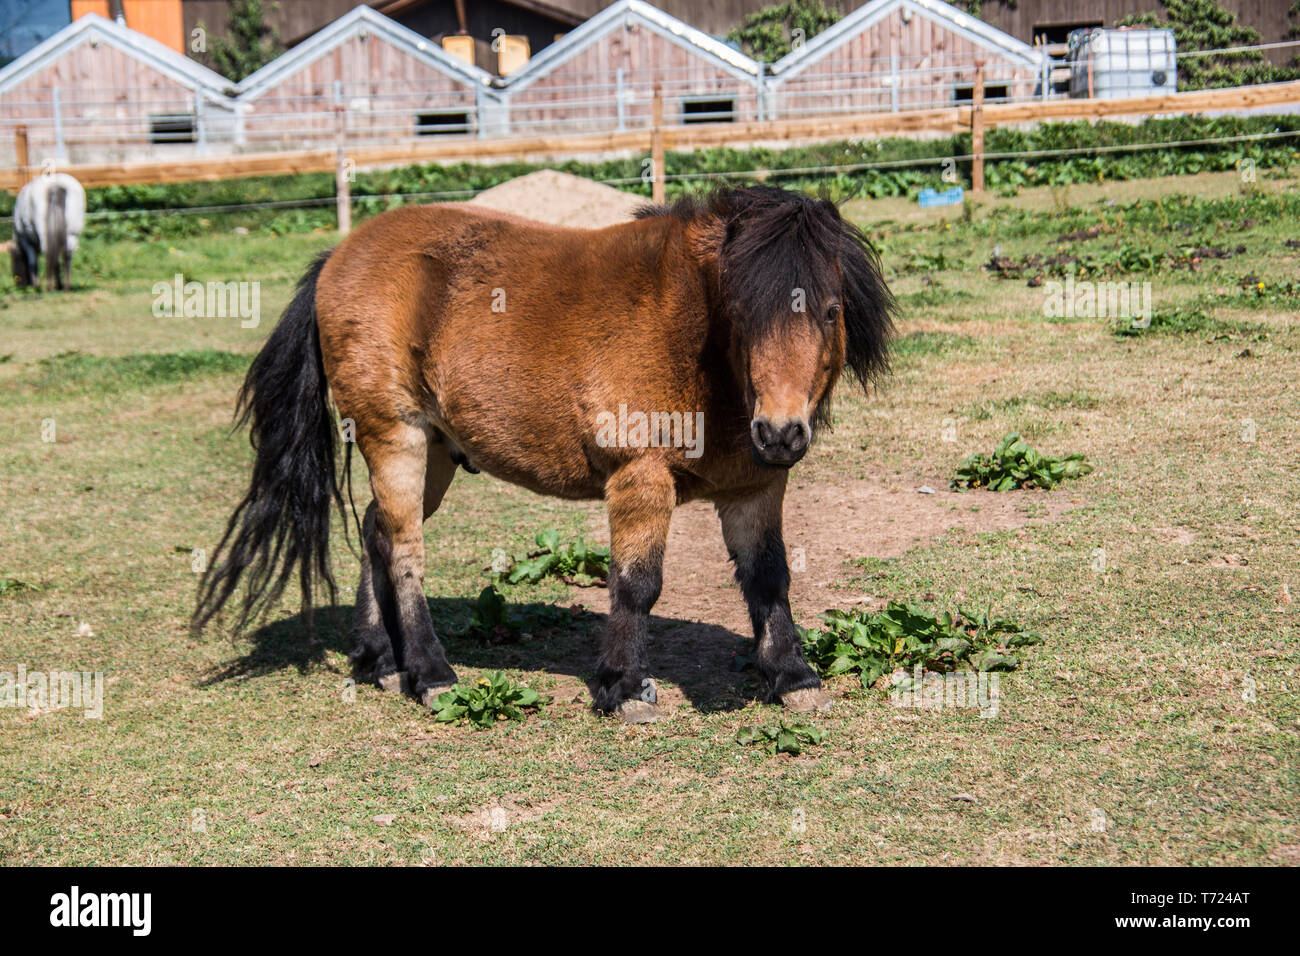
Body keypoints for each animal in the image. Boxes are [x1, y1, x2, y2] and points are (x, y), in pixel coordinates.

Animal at [193, 184, 895, 723]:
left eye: (830, 310)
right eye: (745, 313)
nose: (780, 432)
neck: (694, 342)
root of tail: (339, 255)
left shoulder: (755, 487)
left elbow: (769, 577)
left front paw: (792, 677)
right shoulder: (640, 478)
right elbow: (637, 584)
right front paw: (623, 687)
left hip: (436, 453)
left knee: (377, 533)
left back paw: (380, 661)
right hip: (395, 436)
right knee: (405, 551)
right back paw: (431, 673)